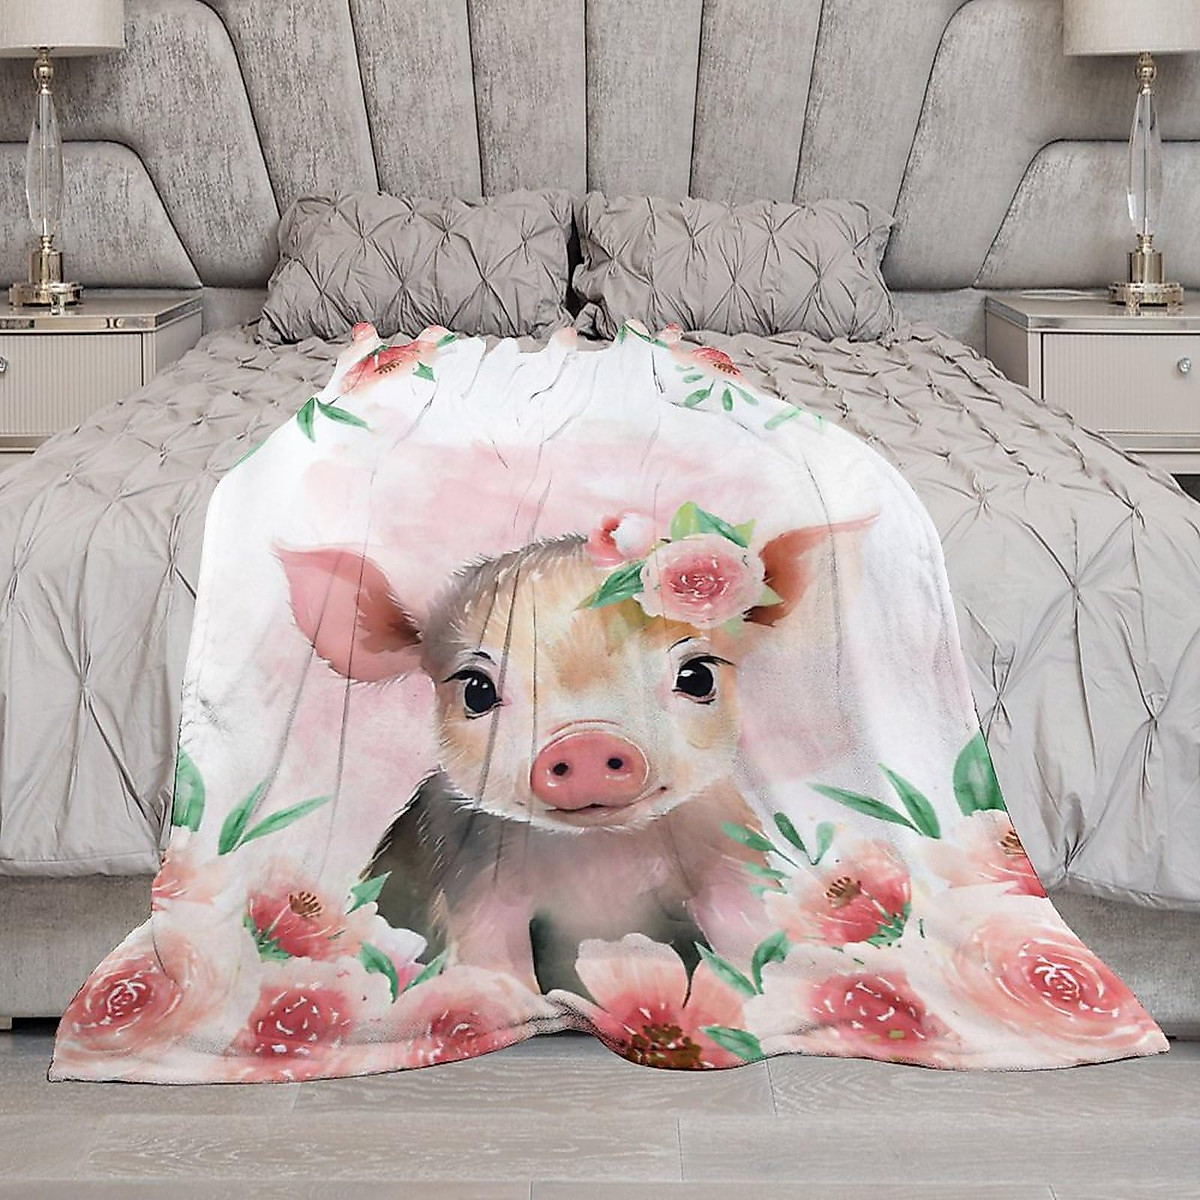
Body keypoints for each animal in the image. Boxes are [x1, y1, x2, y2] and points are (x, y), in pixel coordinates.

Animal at [278, 521, 861, 995]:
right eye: (476, 689)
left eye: (697, 676)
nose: (587, 742)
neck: (598, 860)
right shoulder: (468, 877)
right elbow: (494, 964)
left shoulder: (726, 850)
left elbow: (746, 934)